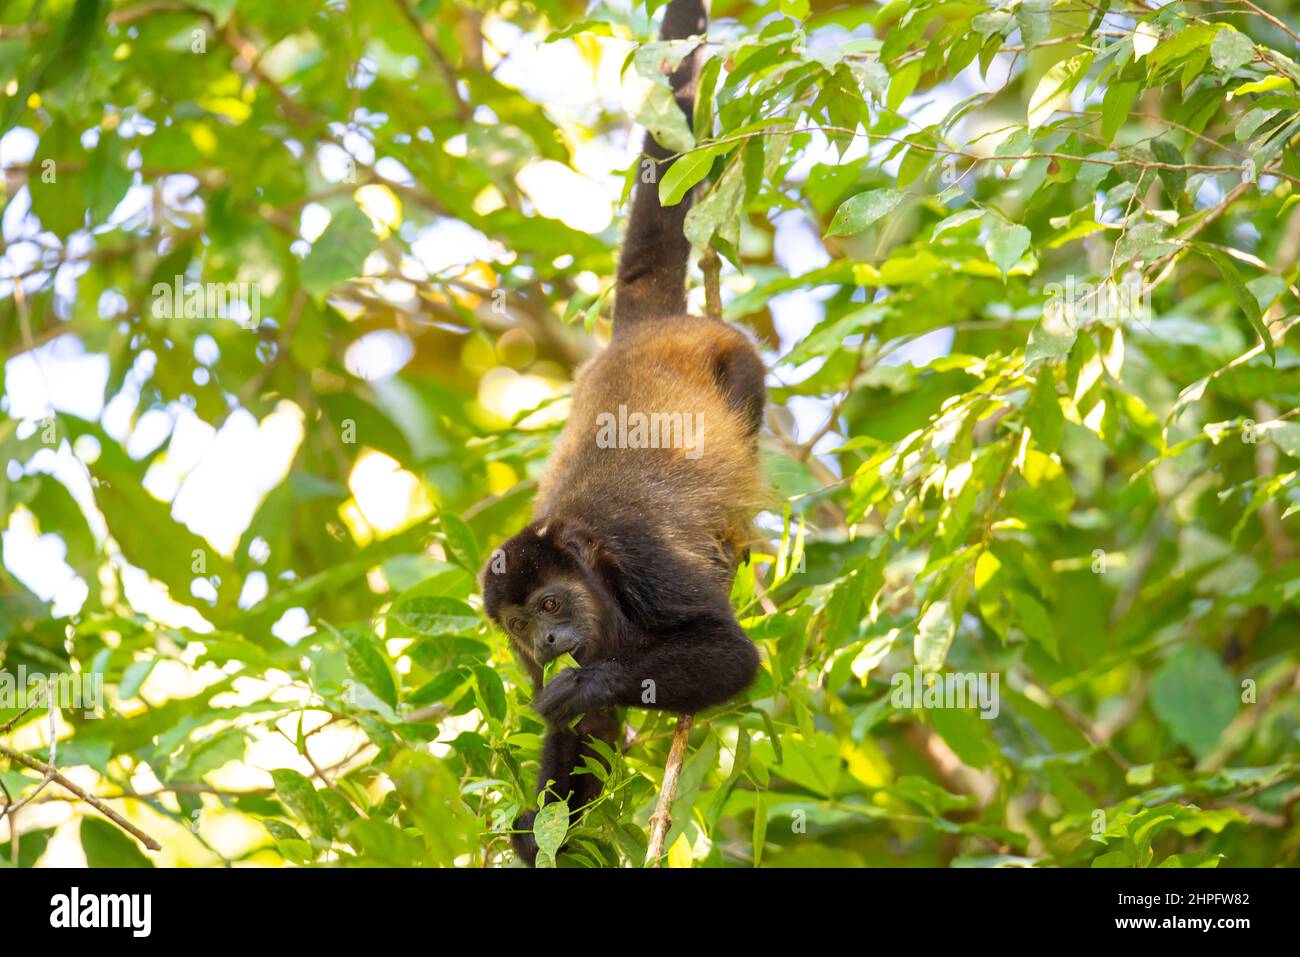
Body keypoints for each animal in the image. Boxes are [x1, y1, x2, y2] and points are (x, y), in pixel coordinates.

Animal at [480, 0, 765, 867]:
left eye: (547, 604)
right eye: (517, 627)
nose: (545, 643)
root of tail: (641, 332)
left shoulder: (636, 554)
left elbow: (729, 653)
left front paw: (586, 683)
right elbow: (583, 742)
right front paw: (540, 832)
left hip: (734, 360)